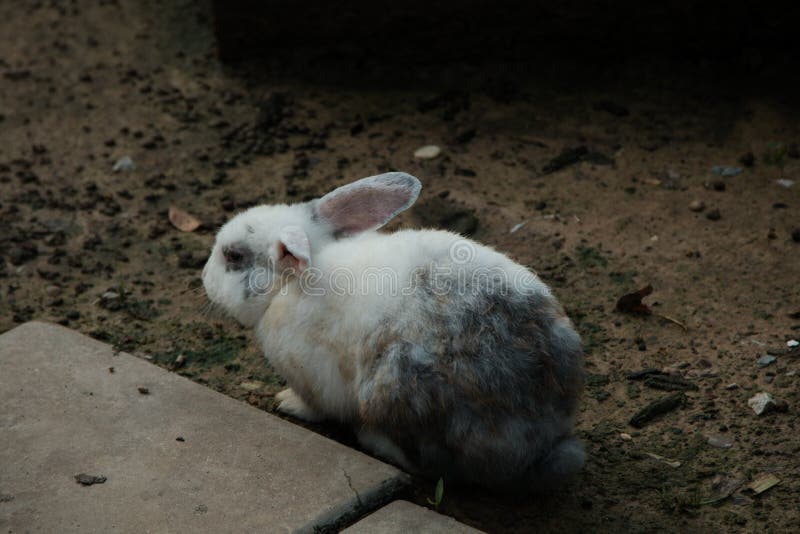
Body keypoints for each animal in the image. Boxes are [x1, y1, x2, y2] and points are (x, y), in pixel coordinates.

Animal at [202, 172, 585, 492]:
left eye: (233, 256)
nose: (204, 277)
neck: (288, 285)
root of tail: (545, 434)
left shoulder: (314, 381)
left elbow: (314, 405)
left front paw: (286, 402)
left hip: (396, 389)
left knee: (433, 464)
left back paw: (374, 441)